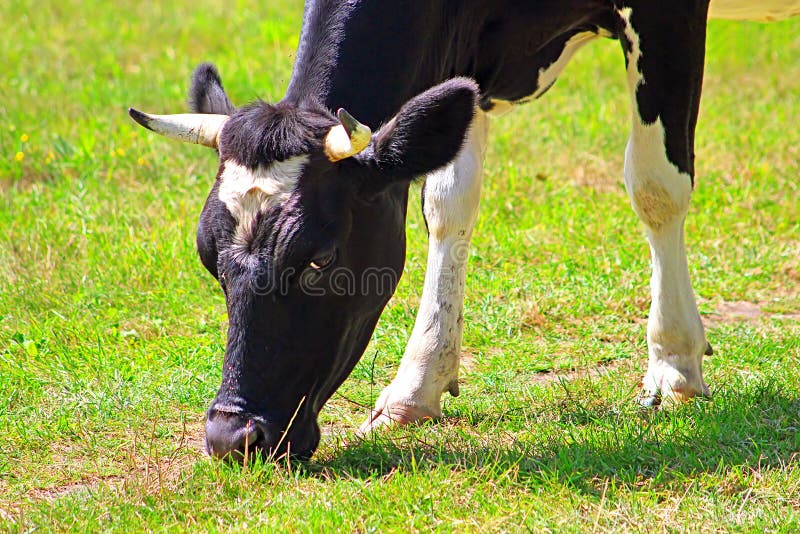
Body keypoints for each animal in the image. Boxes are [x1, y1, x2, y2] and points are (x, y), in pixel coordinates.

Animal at [129, 0, 800, 461]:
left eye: (320, 258)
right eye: (208, 257)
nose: (230, 435)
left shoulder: (667, 14)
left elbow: (656, 187)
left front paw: (674, 364)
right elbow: (449, 201)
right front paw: (416, 385)